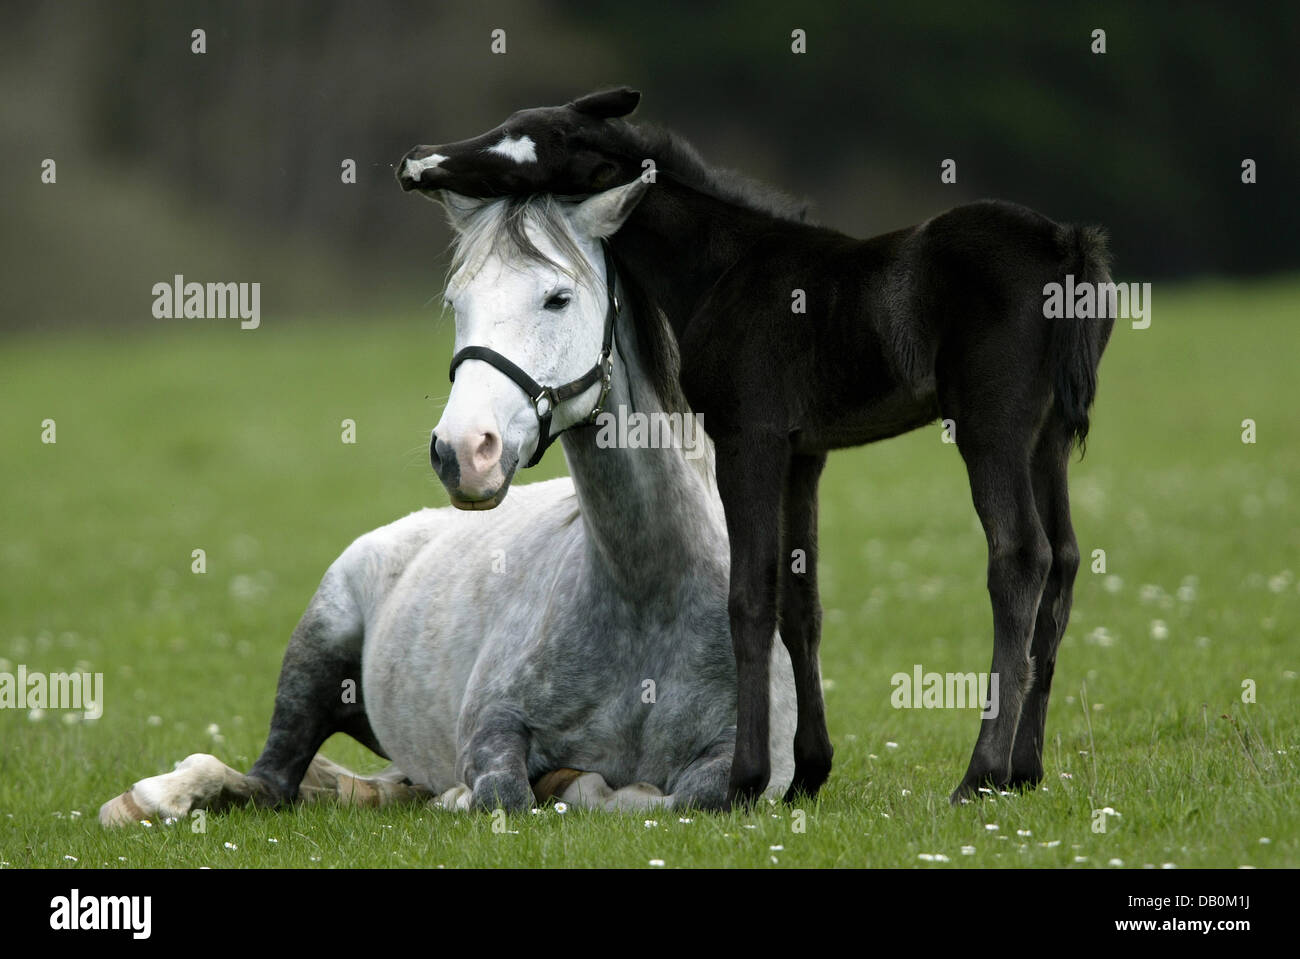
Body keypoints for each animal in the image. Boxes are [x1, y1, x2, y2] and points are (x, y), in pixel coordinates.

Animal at [99, 184, 798, 826]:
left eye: (558, 297)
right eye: (455, 302)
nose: (463, 451)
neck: (649, 593)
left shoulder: (757, 769)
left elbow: (684, 796)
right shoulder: (493, 731)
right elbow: (513, 793)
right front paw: (496, 792)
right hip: (317, 648)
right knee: (271, 781)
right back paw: (154, 795)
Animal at [396, 87, 1115, 806]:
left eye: (518, 143)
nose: (413, 163)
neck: (723, 266)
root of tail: (1065, 244)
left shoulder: (750, 438)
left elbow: (750, 597)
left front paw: (746, 778)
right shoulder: (804, 455)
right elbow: (800, 603)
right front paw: (807, 773)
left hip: (992, 429)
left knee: (1020, 557)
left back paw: (982, 774)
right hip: (1046, 438)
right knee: (1065, 560)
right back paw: (1026, 768)